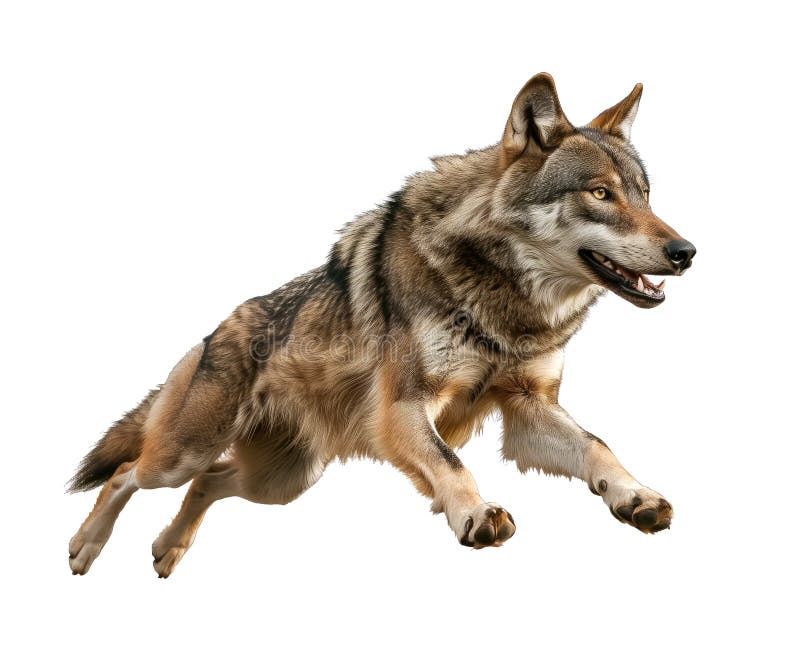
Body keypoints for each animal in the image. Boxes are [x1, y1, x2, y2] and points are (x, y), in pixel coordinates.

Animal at [68, 73, 695, 577]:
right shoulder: (404, 407)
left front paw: (635, 496)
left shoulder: (528, 404)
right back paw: (83, 547)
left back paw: (167, 549)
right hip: (186, 456)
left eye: (645, 196)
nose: (686, 251)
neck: (505, 302)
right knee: (125, 472)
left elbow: (598, 447)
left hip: (283, 482)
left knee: (207, 484)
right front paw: (474, 513)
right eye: (600, 193)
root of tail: (210, 334)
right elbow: (451, 463)